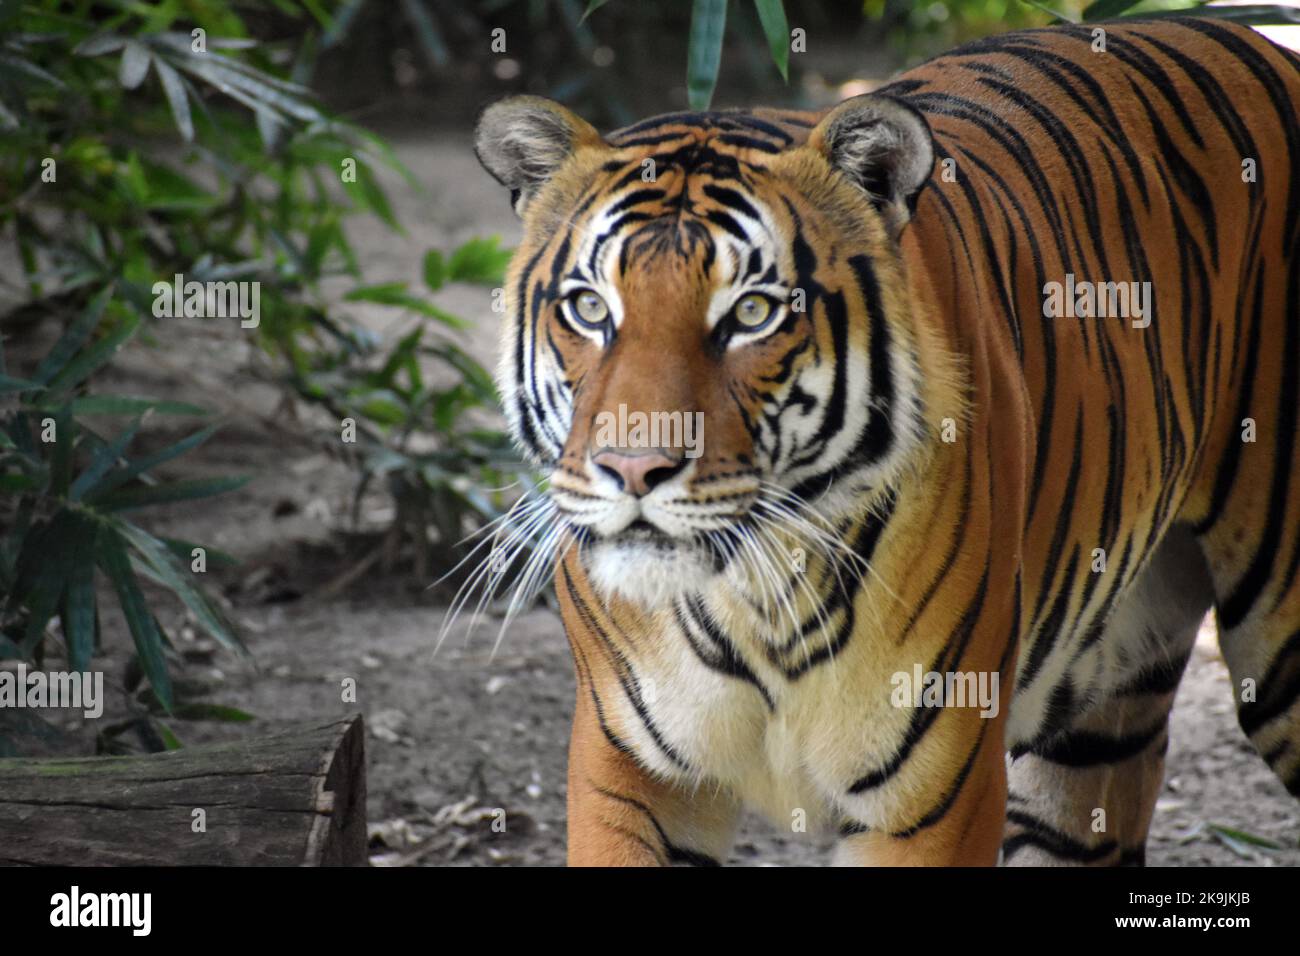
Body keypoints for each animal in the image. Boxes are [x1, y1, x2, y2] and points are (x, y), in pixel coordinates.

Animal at [471, 16, 1300, 866]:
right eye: (589, 307)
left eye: (753, 313)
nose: (634, 469)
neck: (755, 607)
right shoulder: (627, 771)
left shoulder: (933, 798)